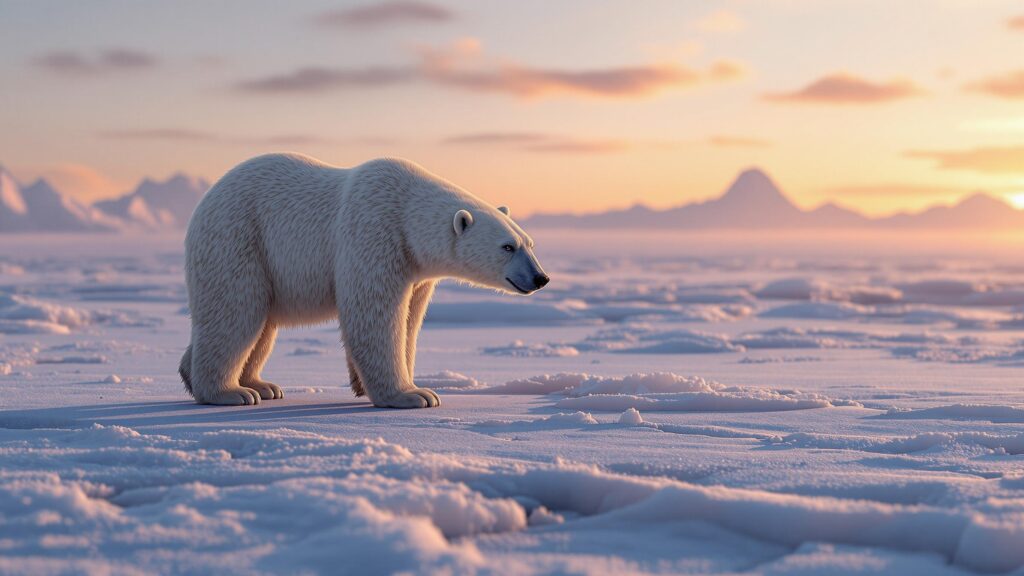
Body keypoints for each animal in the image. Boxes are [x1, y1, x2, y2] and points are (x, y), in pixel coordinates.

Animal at [178, 153, 548, 408]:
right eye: (507, 247)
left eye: (529, 243)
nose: (540, 277)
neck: (406, 212)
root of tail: (203, 203)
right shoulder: (374, 233)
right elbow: (374, 316)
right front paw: (414, 395)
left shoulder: (415, 271)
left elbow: (410, 320)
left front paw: (374, 384)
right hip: (239, 239)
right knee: (237, 312)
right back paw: (230, 392)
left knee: (258, 324)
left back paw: (249, 383)